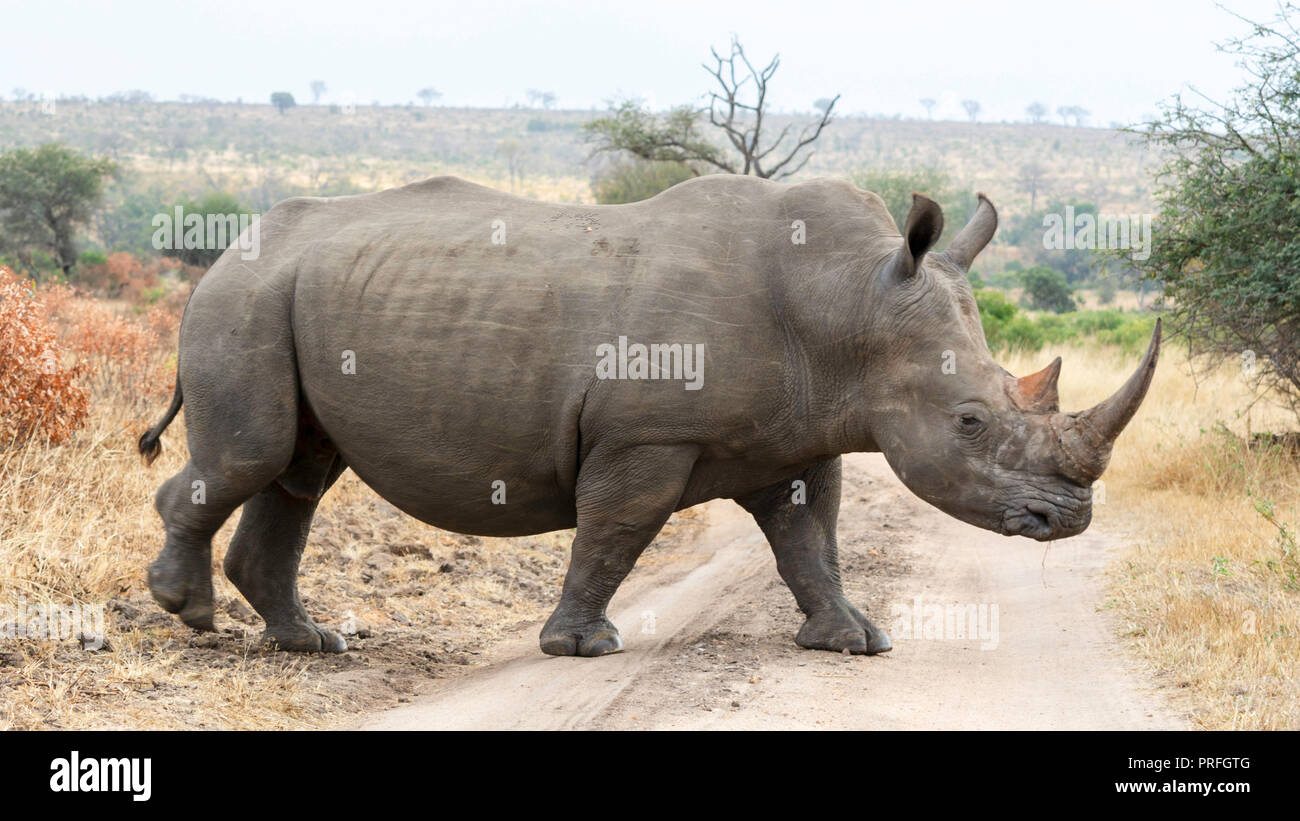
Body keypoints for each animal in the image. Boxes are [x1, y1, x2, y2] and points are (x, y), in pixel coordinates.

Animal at [139, 175, 1159, 657]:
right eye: (971, 423)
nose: (1070, 519)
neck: (849, 304)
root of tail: (232, 248)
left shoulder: (800, 435)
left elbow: (812, 539)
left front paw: (853, 640)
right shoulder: (647, 434)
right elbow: (617, 530)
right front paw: (581, 645)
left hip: (287, 295)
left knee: (298, 471)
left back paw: (309, 643)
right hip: (242, 300)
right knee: (254, 455)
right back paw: (190, 613)